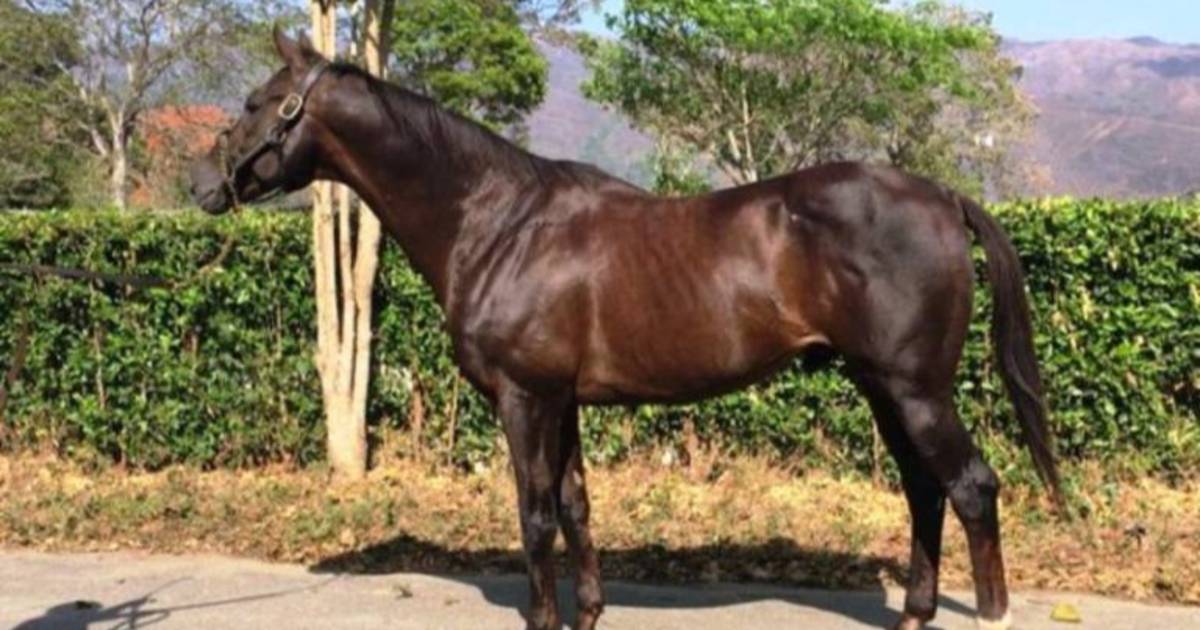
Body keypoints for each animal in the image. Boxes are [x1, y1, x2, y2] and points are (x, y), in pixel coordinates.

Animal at [190, 28, 1061, 630]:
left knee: (971, 487)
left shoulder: (525, 398)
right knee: (925, 490)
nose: (202, 182)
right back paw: (914, 612)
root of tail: (942, 197)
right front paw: (587, 612)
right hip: (883, 386)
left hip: (914, 389)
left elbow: (536, 518)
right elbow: (576, 507)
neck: (498, 222)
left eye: (258, 103)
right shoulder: (563, 401)